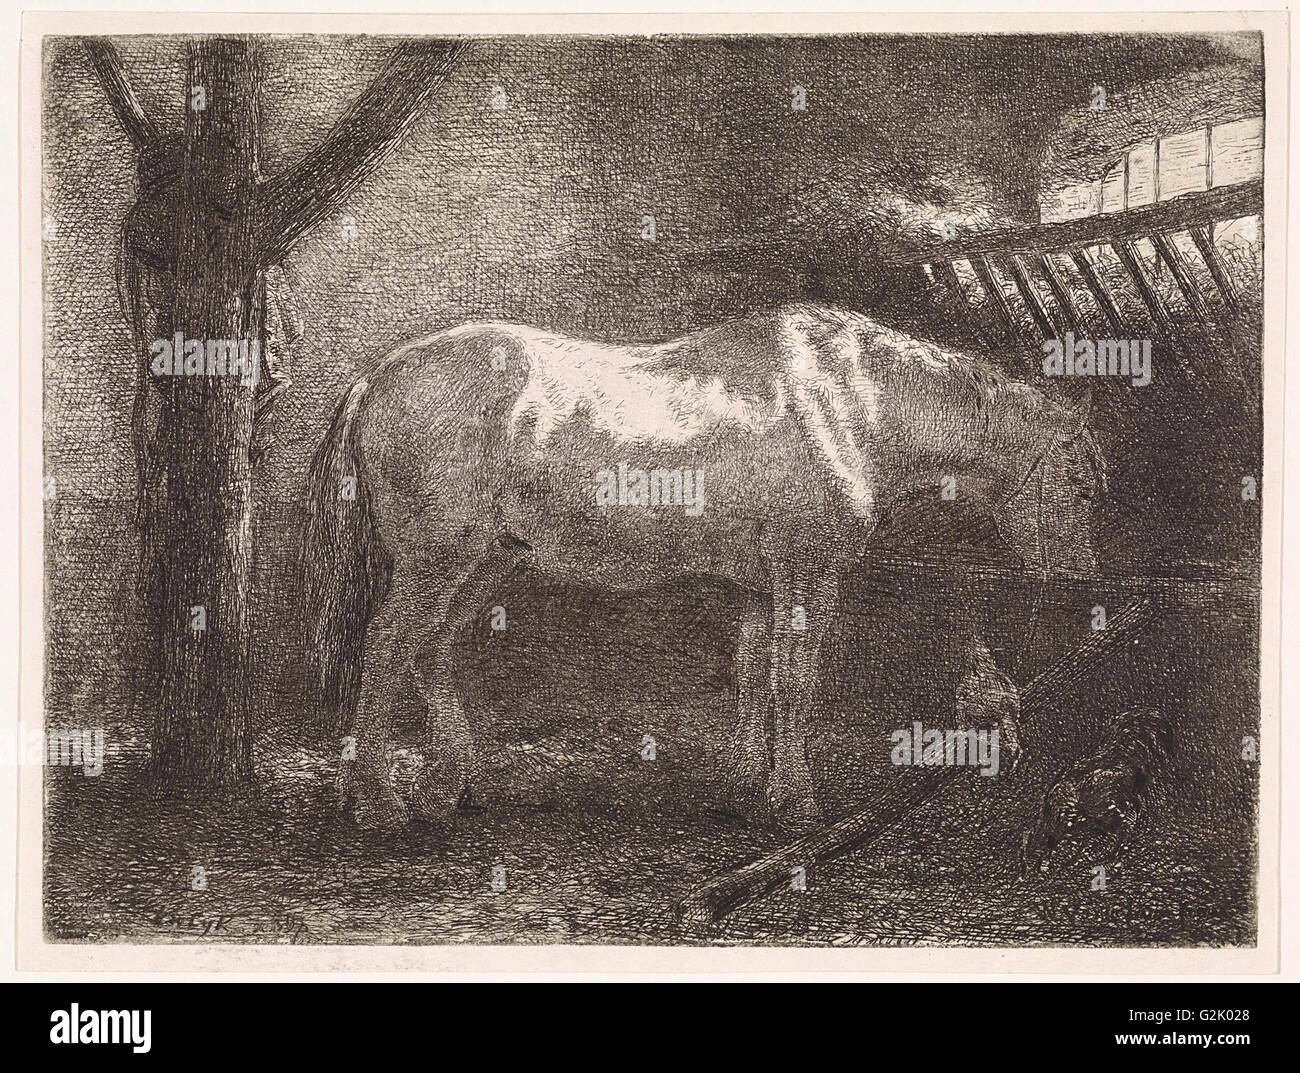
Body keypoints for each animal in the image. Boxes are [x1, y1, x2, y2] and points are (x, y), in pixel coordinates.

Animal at [302, 302, 1104, 832]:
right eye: (1082, 482)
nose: (1080, 578)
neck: (850, 403)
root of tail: (377, 376)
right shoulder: (806, 573)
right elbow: (795, 682)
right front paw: (796, 802)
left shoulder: (759, 584)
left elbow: (755, 675)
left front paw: (749, 786)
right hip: (437, 562)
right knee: (387, 649)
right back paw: (378, 803)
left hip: (488, 564)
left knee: (429, 651)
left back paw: (450, 788)